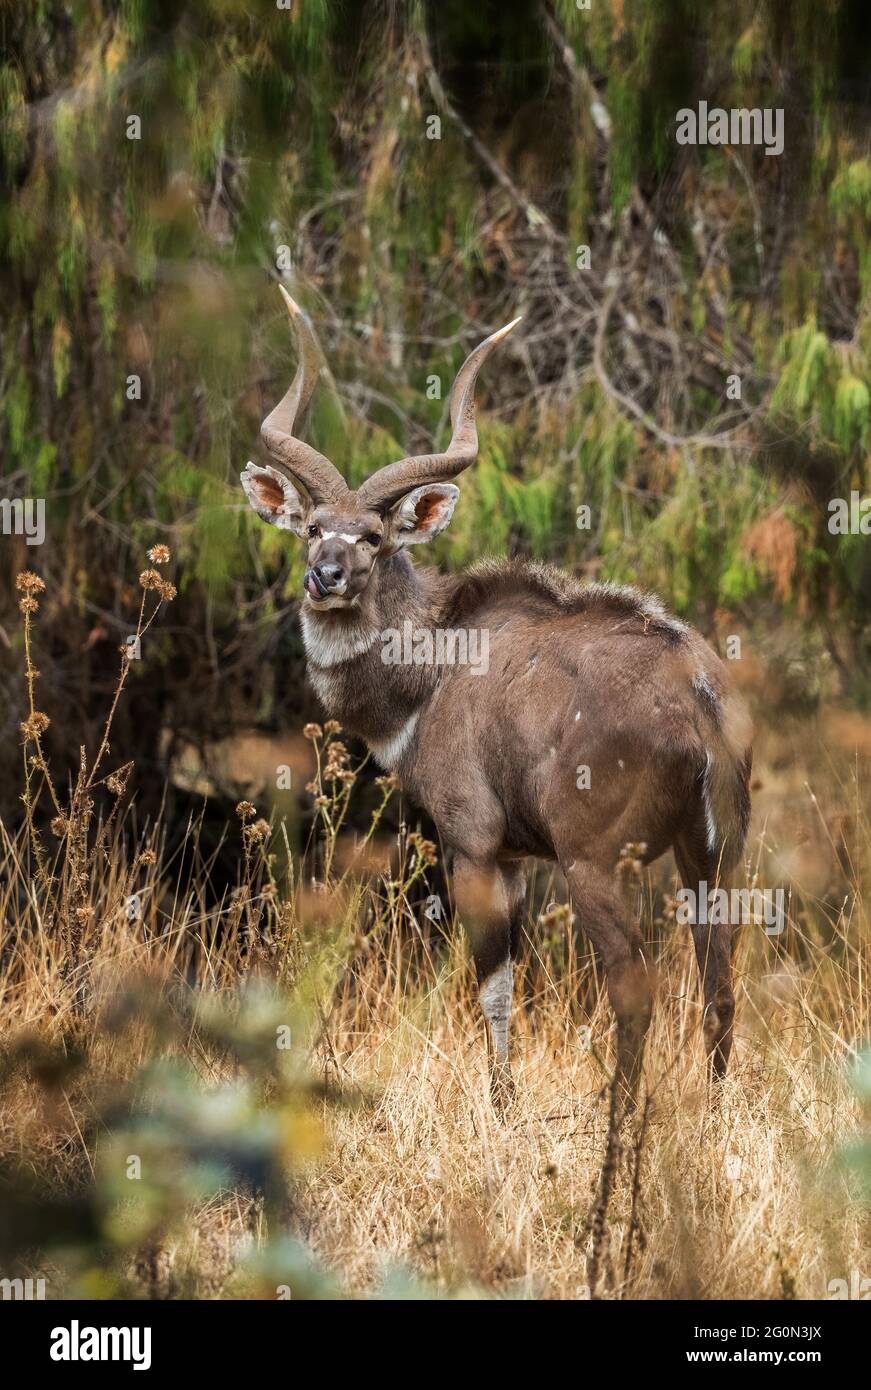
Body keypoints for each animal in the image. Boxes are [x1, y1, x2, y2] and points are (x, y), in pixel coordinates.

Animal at [241, 288, 753, 1110]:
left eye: (375, 536)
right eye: (313, 528)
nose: (326, 576)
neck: (432, 670)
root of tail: (699, 702)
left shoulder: (474, 842)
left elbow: (492, 987)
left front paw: (502, 1107)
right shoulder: (514, 856)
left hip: (595, 862)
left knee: (635, 984)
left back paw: (617, 1114)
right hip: (710, 855)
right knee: (720, 983)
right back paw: (710, 1109)